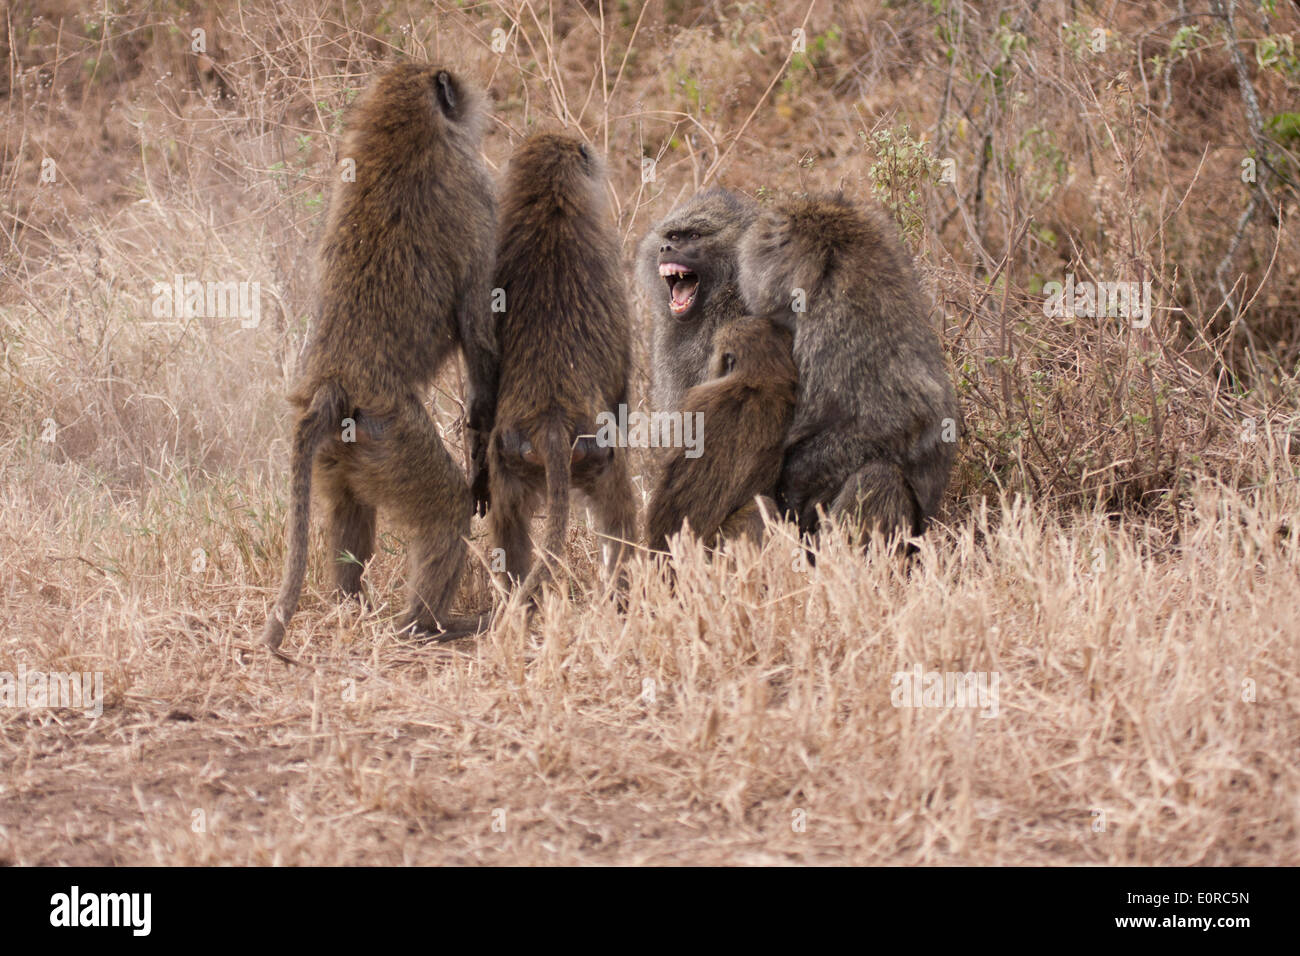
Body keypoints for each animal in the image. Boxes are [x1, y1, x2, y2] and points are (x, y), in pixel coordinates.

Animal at [261, 63, 497, 651]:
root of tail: (330, 382)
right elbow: (480, 336)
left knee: (349, 506)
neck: (400, 131)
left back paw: (351, 606)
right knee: (445, 510)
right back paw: (426, 626)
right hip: (392, 436)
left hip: (345, 449)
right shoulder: (478, 191)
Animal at [486, 132, 637, 600]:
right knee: (619, 516)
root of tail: (550, 418)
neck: (551, 203)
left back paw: (517, 600)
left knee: (509, 526)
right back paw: (624, 593)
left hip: (508, 457)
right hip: (597, 454)